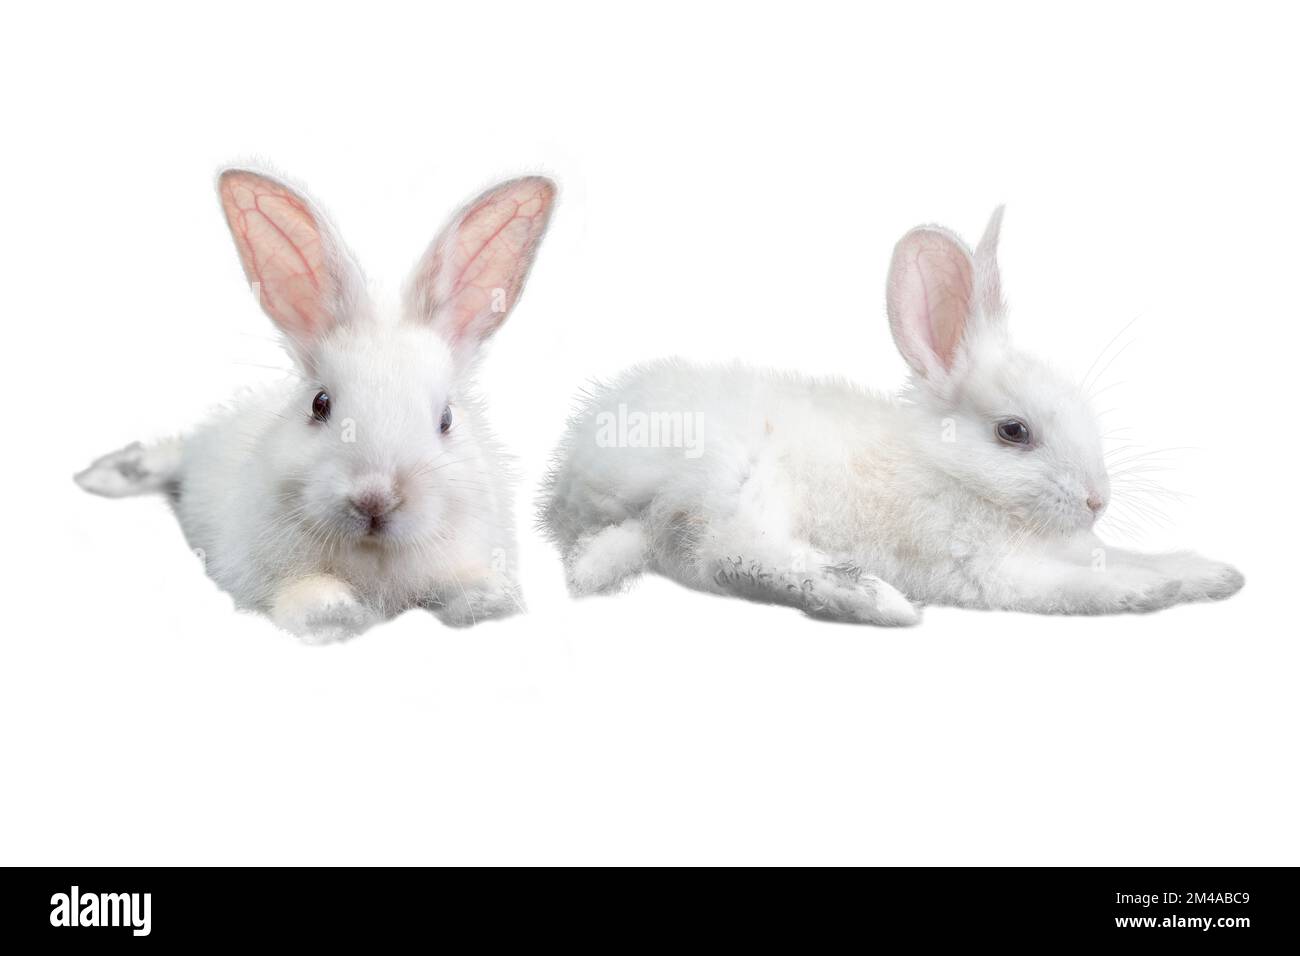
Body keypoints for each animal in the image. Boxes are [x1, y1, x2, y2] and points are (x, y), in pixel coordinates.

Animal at [76, 167, 556, 641]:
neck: (374, 555)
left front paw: (492, 601)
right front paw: (336, 616)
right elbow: (306, 590)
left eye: (447, 419)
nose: (374, 499)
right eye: (319, 403)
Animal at [539, 209, 1243, 625]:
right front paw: (1152, 593)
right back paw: (872, 598)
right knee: (730, 555)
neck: (951, 471)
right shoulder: (991, 573)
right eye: (1013, 432)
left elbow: (1125, 556)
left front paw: (1212, 574)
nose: (1098, 500)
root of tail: (574, 488)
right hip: (736, 480)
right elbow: (1081, 585)